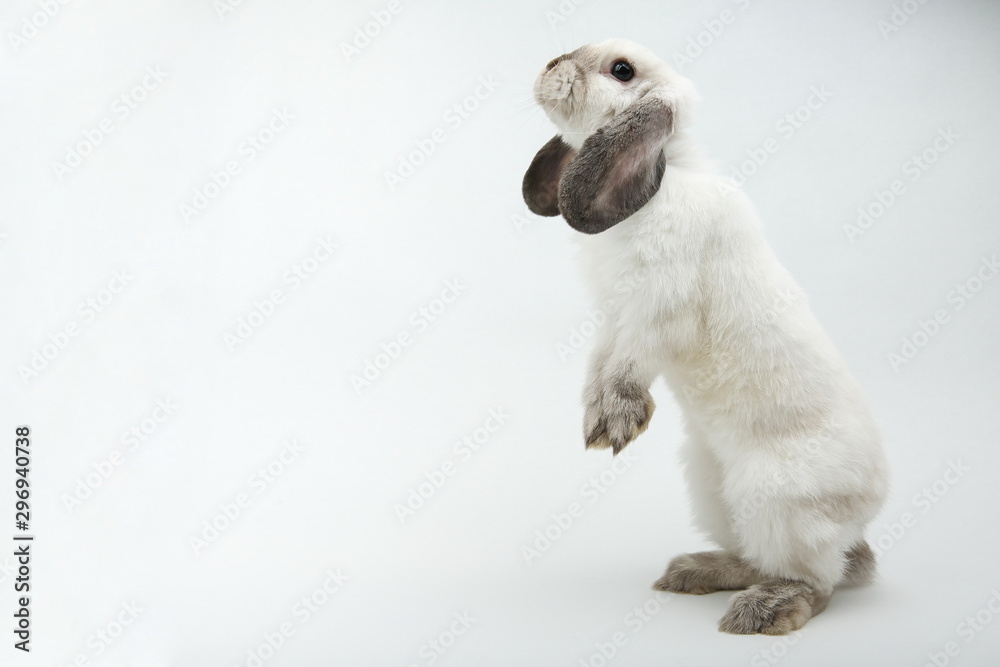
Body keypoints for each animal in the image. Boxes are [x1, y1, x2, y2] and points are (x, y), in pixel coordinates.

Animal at [522, 39, 889, 635]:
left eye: (621, 70)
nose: (551, 65)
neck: (664, 179)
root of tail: (863, 514)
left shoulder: (657, 311)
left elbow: (630, 365)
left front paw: (616, 422)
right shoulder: (613, 317)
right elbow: (601, 362)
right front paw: (596, 418)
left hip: (776, 501)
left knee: (817, 582)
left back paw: (765, 611)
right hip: (714, 492)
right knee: (765, 558)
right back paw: (695, 571)